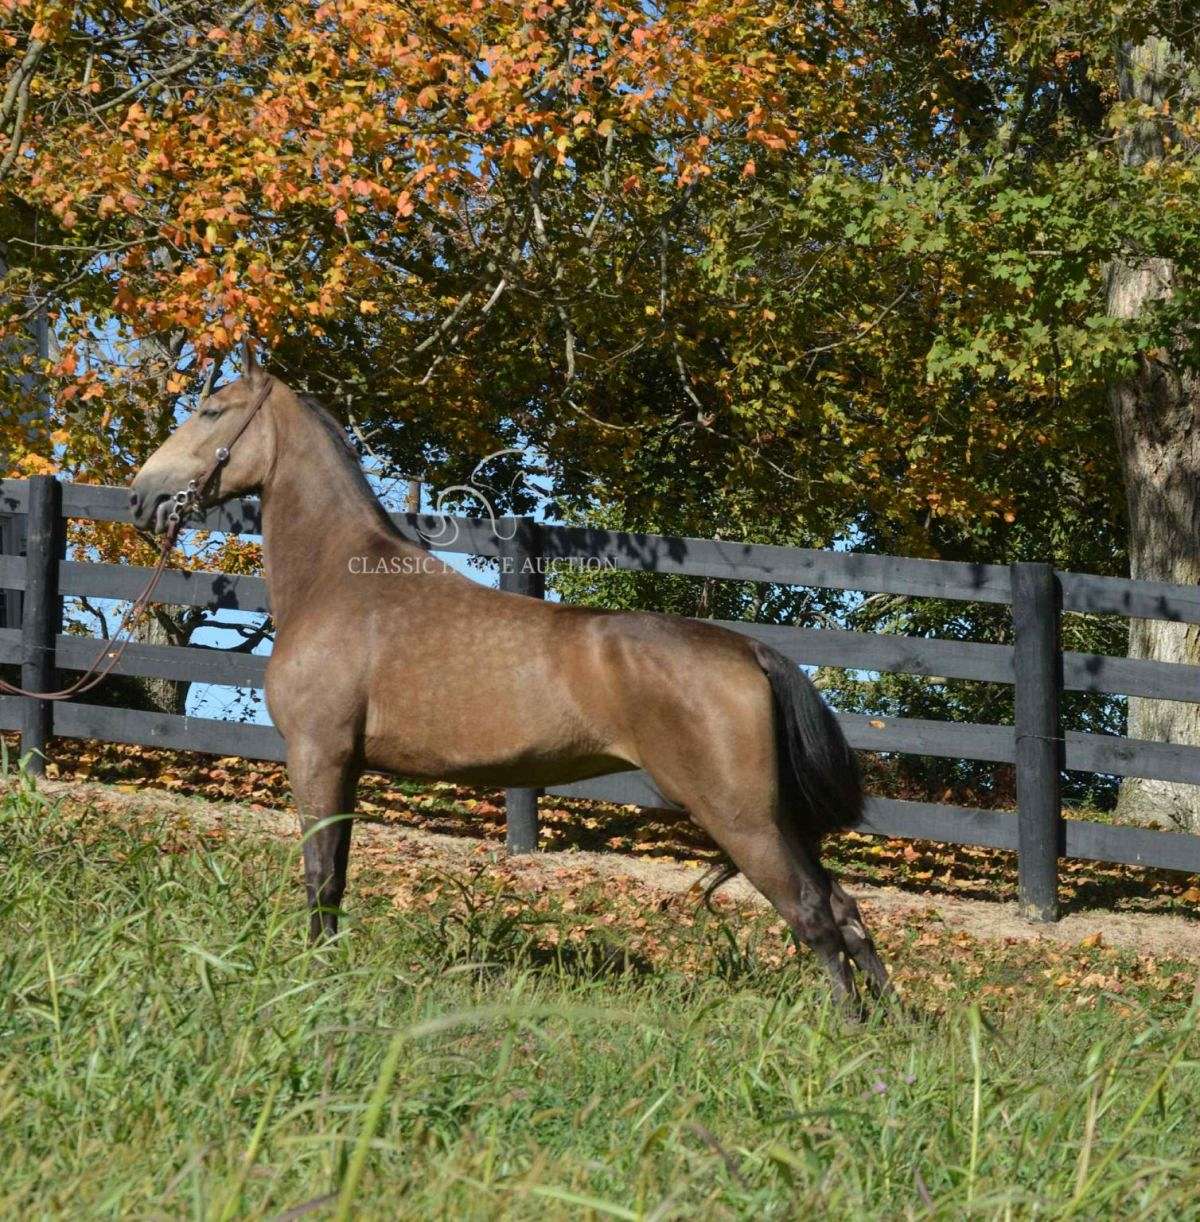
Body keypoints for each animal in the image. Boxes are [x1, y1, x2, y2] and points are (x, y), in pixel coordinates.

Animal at [128, 350, 893, 1011]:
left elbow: (320, 877)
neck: (338, 583)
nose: (141, 498)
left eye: (212, 410)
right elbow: (336, 875)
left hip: (742, 819)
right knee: (845, 910)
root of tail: (750, 652)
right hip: (780, 821)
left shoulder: (318, 754)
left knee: (812, 914)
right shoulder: (344, 765)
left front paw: (311, 980)